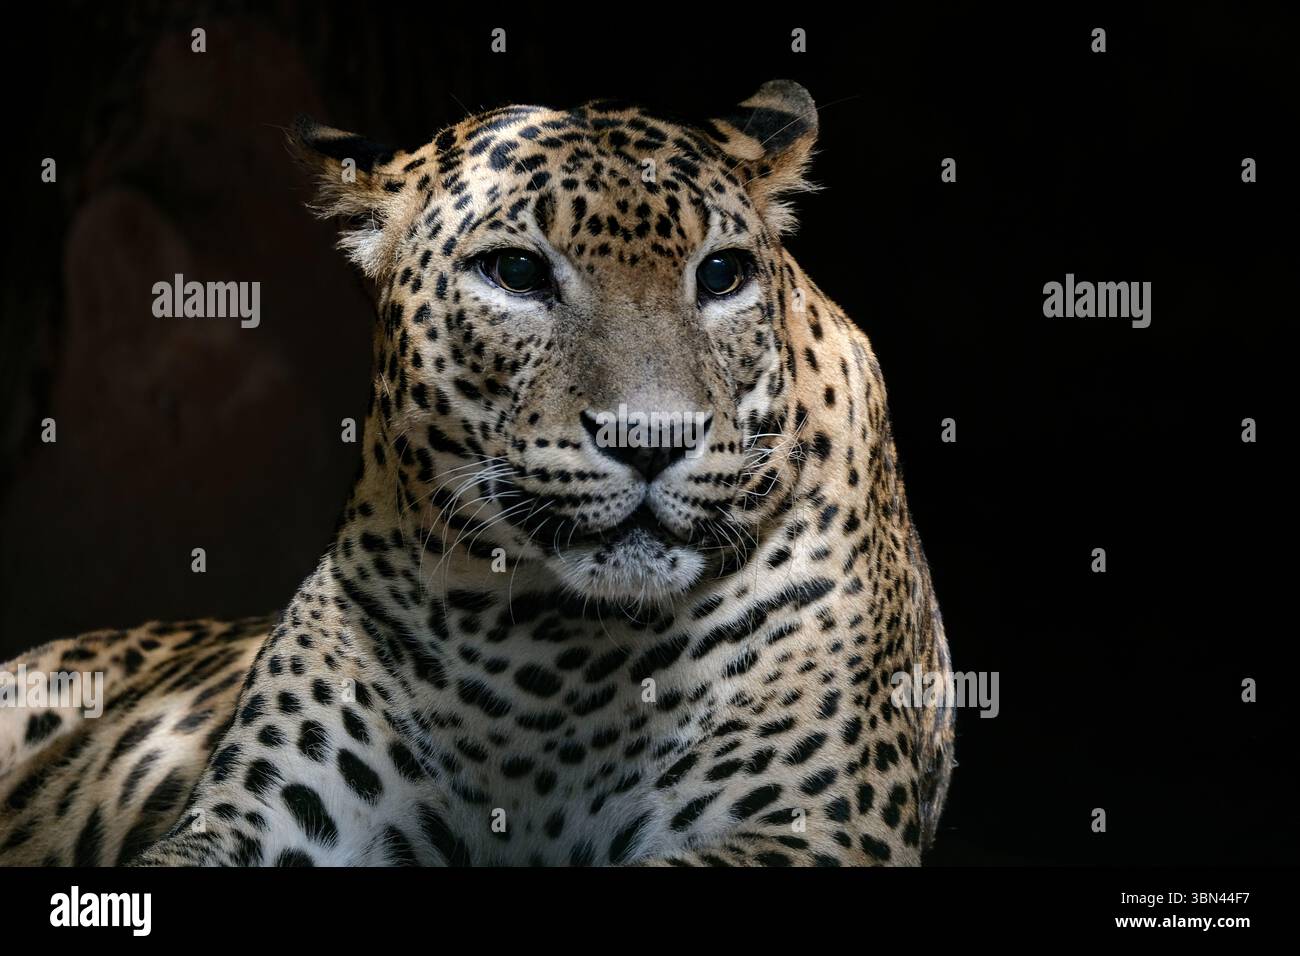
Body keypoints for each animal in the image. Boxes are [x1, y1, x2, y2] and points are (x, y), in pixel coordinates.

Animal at [0, 80, 955, 866]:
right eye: (518, 272)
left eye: (721, 274)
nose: (652, 437)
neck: (559, 653)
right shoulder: (258, 819)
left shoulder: (810, 832)